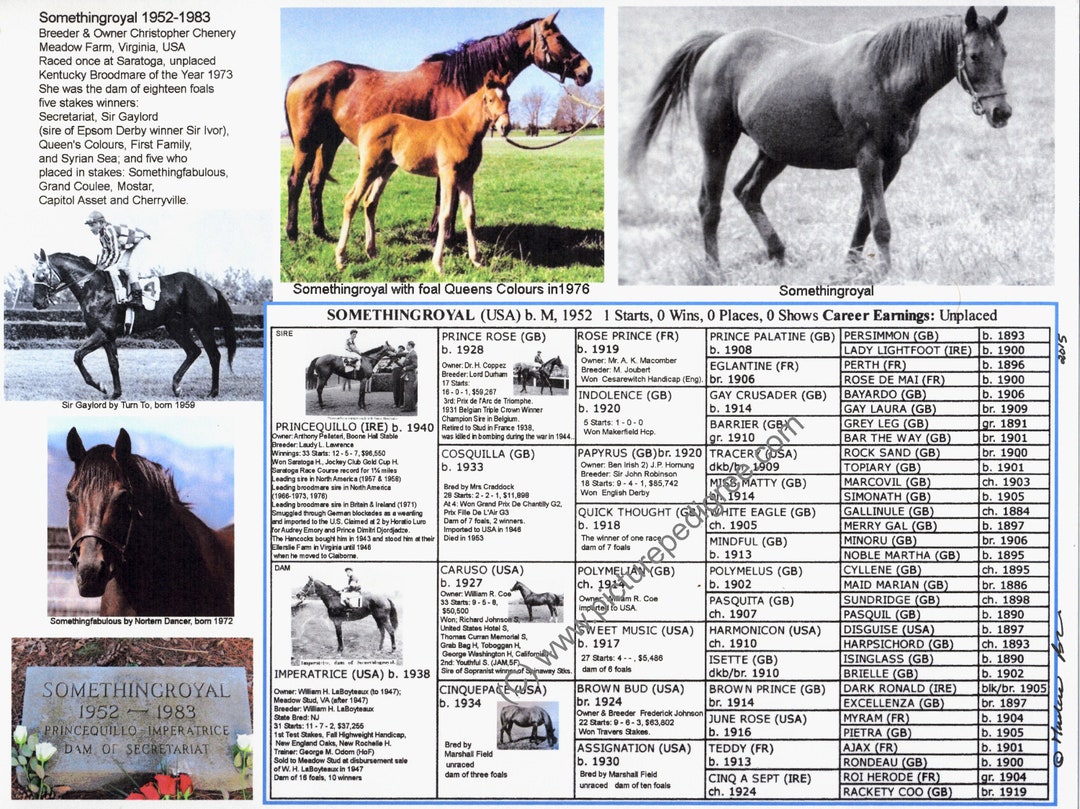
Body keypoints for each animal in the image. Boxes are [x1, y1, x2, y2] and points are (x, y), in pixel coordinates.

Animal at [32, 250, 237, 399]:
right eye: (33, 274)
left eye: (42, 274)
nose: (37, 303)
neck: (94, 288)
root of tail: (209, 287)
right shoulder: (108, 336)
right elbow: (113, 364)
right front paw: (115, 393)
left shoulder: (101, 332)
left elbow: (78, 356)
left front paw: (101, 386)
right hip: (176, 328)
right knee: (193, 351)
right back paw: (177, 386)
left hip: (203, 327)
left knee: (214, 356)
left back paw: (212, 392)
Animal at [284, 12, 592, 242]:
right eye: (560, 37)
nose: (586, 70)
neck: (461, 81)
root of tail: (301, 76)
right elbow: (444, 195)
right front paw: (442, 235)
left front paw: (442, 233)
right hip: (306, 143)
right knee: (296, 181)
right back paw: (293, 233)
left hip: (329, 141)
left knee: (315, 182)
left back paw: (320, 231)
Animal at [334, 72, 512, 274]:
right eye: (489, 99)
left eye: (508, 98)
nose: (505, 127)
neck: (463, 130)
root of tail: (365, 128)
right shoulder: (448, 176)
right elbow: (445, 215)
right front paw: (438, 264)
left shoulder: (467, 178)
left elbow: (470, 215)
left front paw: (477, 260)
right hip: (369, 168)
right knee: (352, 200)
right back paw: (340, 257)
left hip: (385, 170)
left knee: (370, 203)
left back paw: (371, 252)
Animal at [627, 7, 1010, 282]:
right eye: (974, 55)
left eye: (1004, 53)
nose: (1001, 112)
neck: (884, 75)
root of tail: (718, 43)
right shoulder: (868, 159)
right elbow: (880, 222)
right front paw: (886, 271)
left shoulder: (890, 163)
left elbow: (864, 218)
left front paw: (851, 267)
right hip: (717, 143)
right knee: (711, 204)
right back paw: (714, 271)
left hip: (774, 153)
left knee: (747, 192)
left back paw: (778, 255)